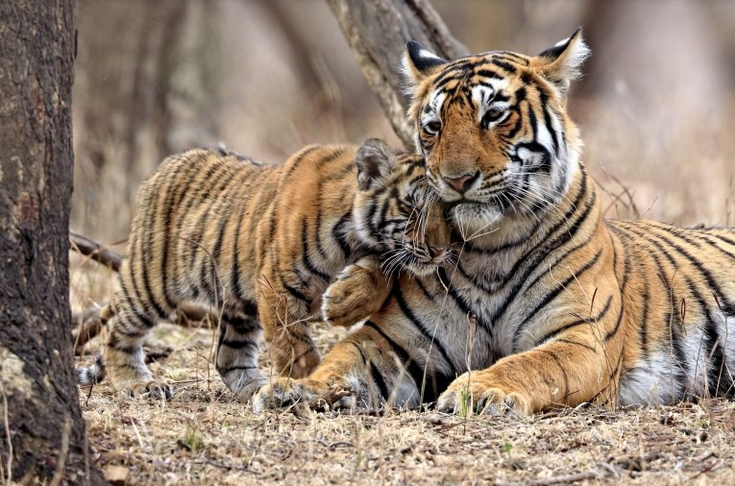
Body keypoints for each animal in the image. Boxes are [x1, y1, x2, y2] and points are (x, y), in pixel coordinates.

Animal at [76, 138, 451, 401]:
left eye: (448, 212)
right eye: (412, 207)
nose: (440, 251)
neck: (353, 239)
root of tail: (162, 166)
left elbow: (384, 269)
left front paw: (344, 304)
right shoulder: (278, 283)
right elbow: (294, 345)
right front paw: (303, 383)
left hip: (238, 303)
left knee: (228, 356)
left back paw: (255, 388)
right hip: (151, 281)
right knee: (117, 329)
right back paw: (136, 384)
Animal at [252, 28, 735, 416]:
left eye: (494, 116)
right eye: (434, 125)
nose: (456, 179)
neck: (491, 247)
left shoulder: (581, 337)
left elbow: (532, 365)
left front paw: (480, 390)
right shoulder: (394, 341)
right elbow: (342, 360)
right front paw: (293, 388)